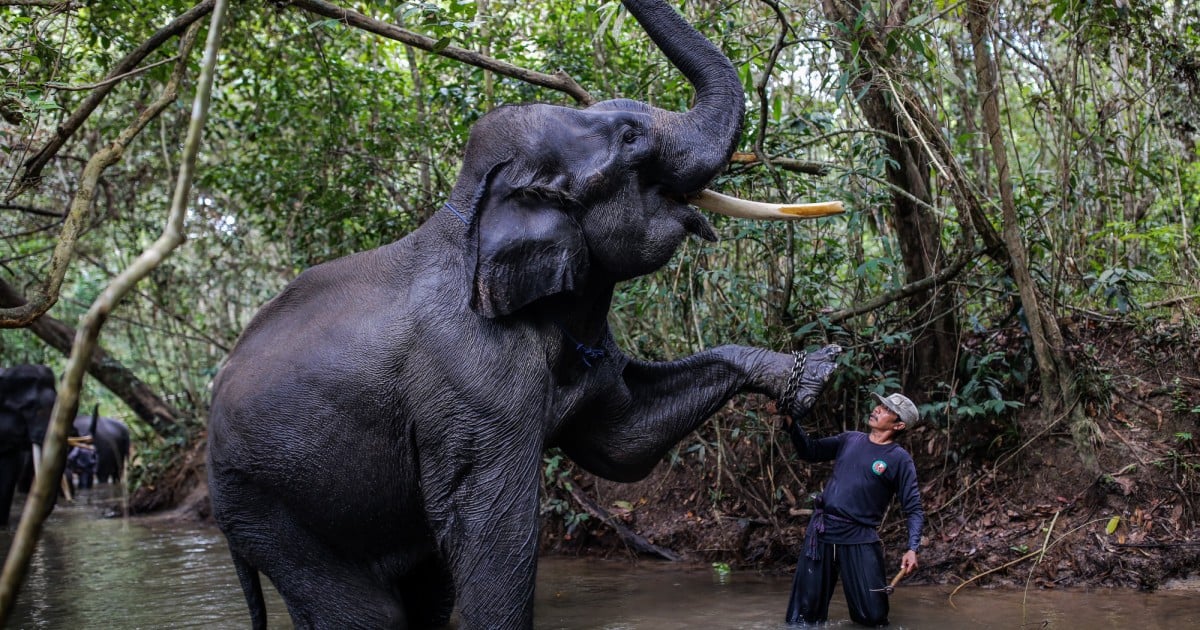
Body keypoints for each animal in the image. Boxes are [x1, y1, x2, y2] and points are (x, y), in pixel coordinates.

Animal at [207, 1, 843, 628]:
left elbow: (623, 439)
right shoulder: (469, 382)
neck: (471, 211)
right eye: (631, 137)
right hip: (264, 500)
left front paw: (815, 371)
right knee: (368, 614)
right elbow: (495, 535)